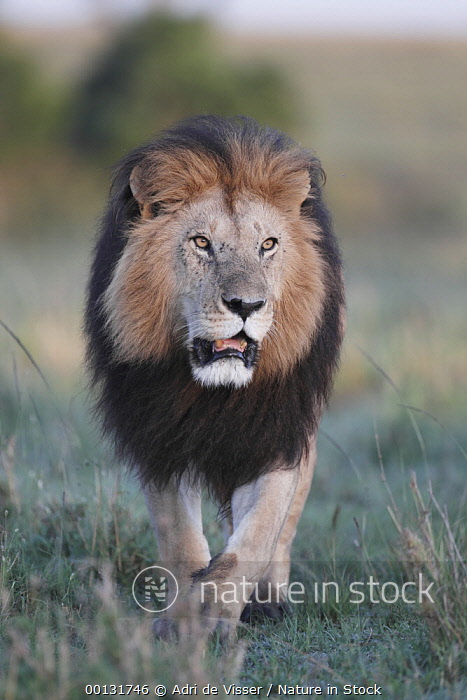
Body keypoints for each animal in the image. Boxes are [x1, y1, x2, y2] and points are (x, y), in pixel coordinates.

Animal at [85, 115, 345, 636]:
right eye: (201, 243)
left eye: (268, 245)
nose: (246, 305)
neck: (214, 393)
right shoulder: (160, 438)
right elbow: (181, 543)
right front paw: (183, 623)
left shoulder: (279, 433)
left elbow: (257, 536)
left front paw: (221, 615)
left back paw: (269, 602)